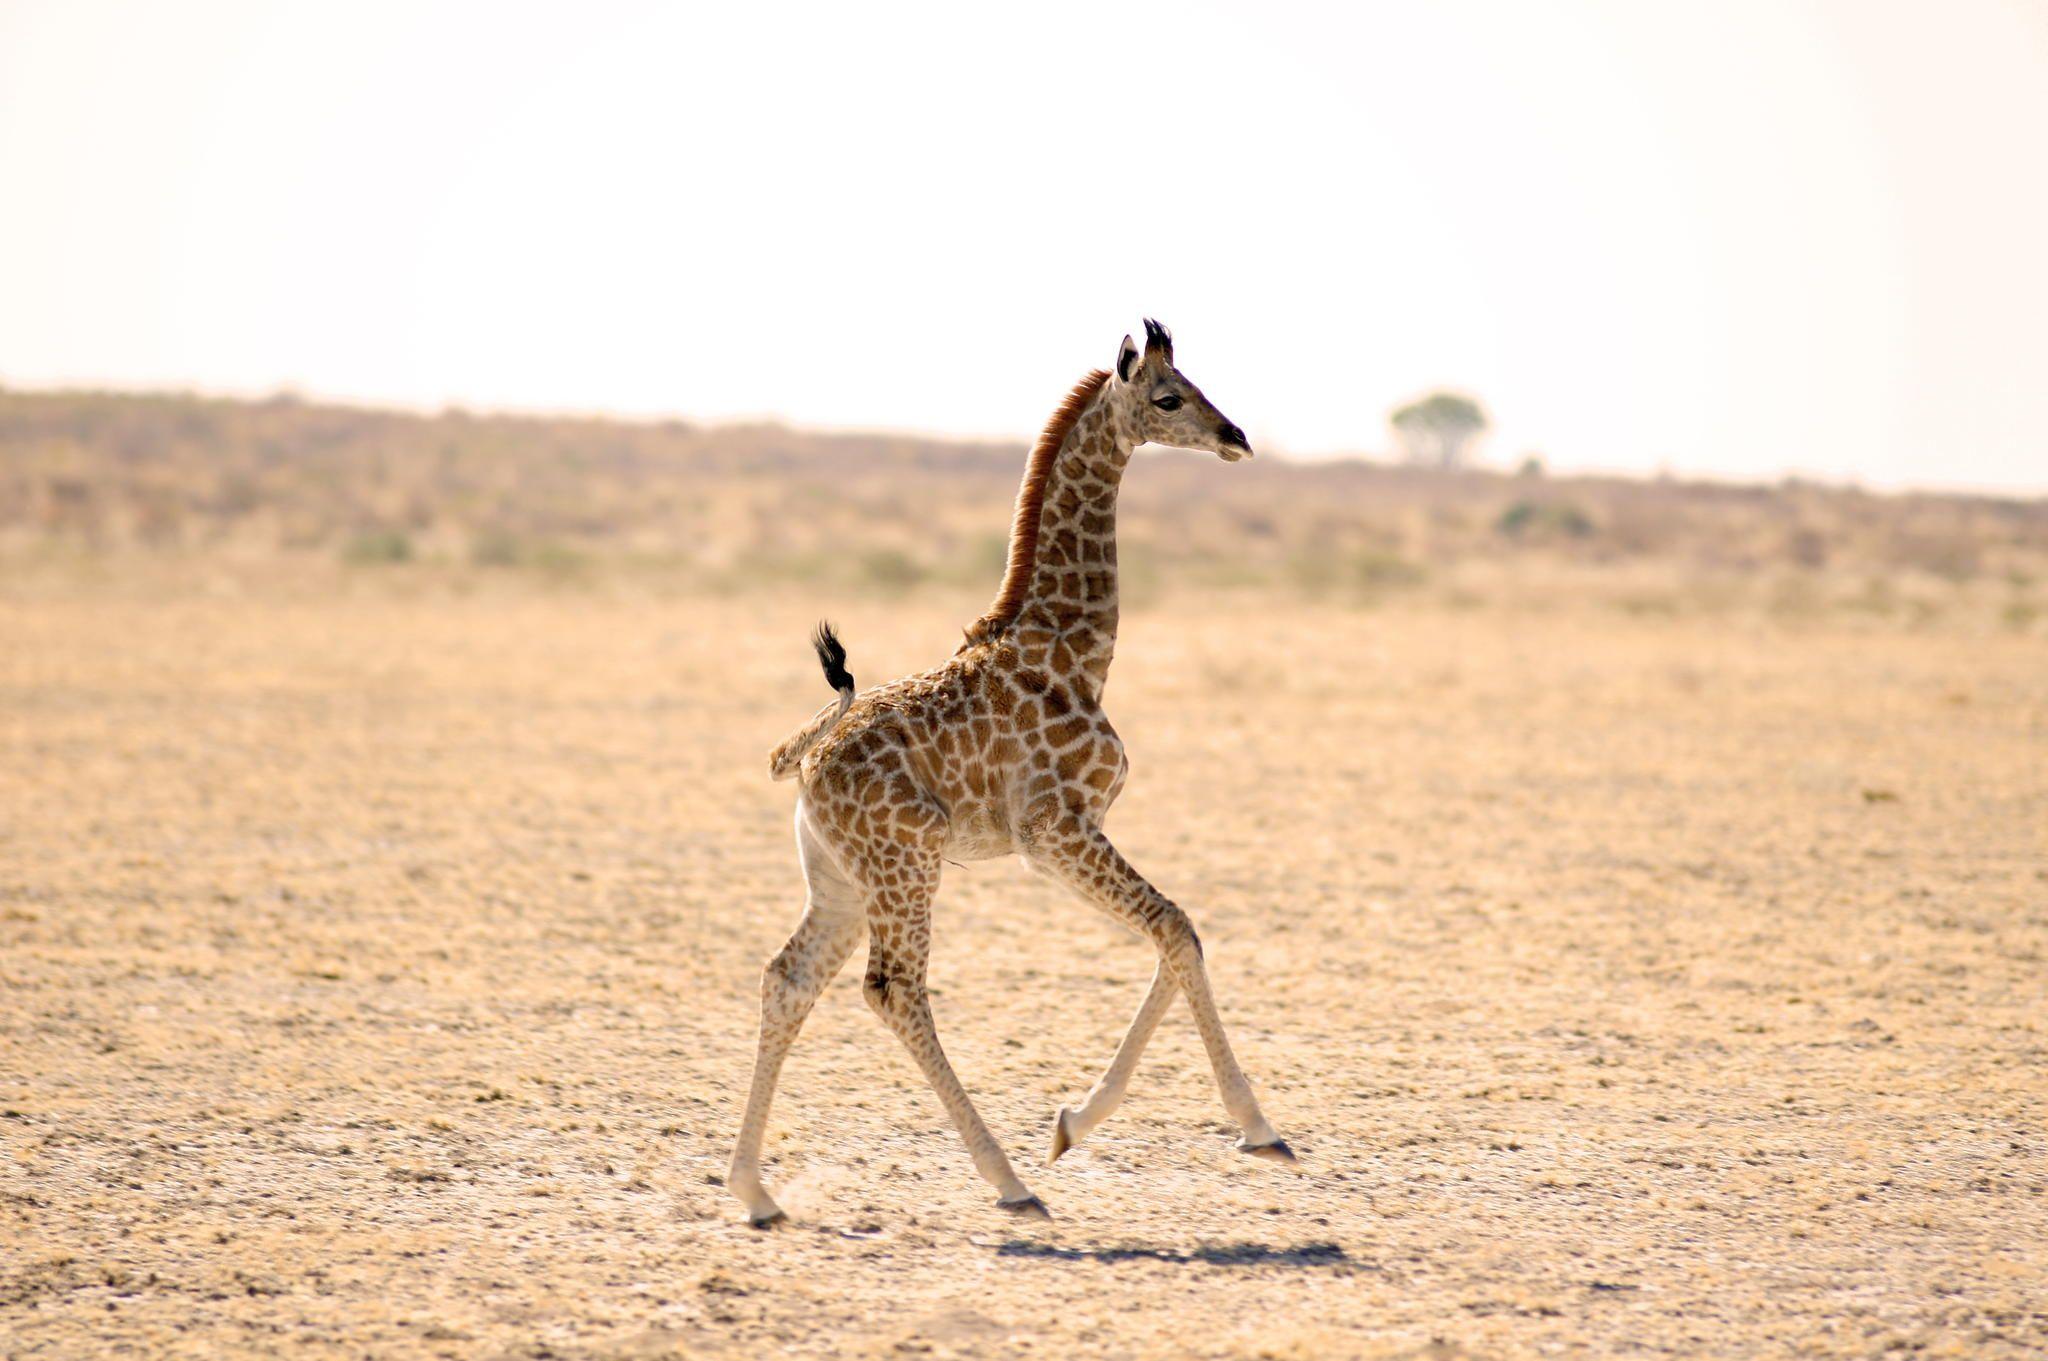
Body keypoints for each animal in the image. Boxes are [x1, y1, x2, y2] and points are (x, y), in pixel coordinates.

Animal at [727, 320, 1292, 1226]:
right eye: (1170, 397)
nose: (1236, 436)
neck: (1076, 650)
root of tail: (802, 760)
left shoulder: (1063, 838)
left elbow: (1174, 933)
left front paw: (1074, 1121)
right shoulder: (1054, 829)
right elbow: (1174, 927)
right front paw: (1256, 1126)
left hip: (841, 878)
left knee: (788, 978)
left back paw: (754, 1189)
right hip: (908, 861)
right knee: (895, 990)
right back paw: (1009, 1180)